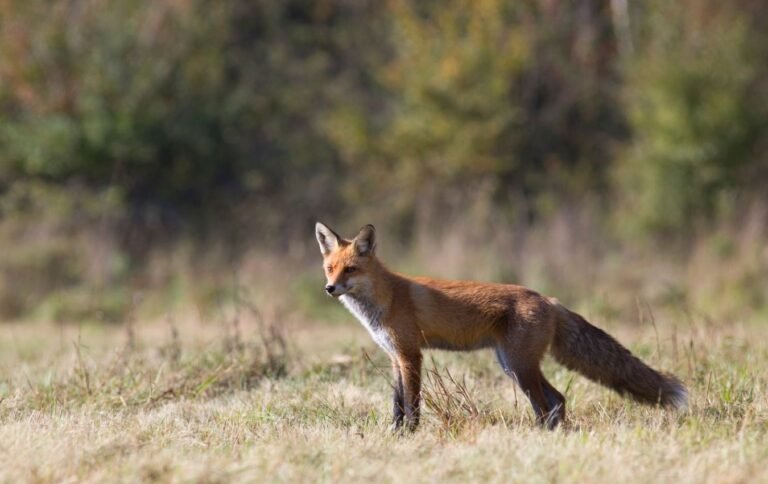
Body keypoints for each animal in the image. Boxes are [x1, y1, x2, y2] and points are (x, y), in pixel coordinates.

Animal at [315, 222, 687, 431]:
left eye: (350, 270)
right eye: (330, 268)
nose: (329, 289)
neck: (386, 299)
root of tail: (550, 299)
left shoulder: (410, 356)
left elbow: (413, 404)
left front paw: (410, 435)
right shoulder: (396, 357)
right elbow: (397, 403)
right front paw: (394, 435)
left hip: (519, 367)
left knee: (547, 404)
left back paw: (541, 437)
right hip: (513, 365)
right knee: (558, 399)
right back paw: (552, 435)